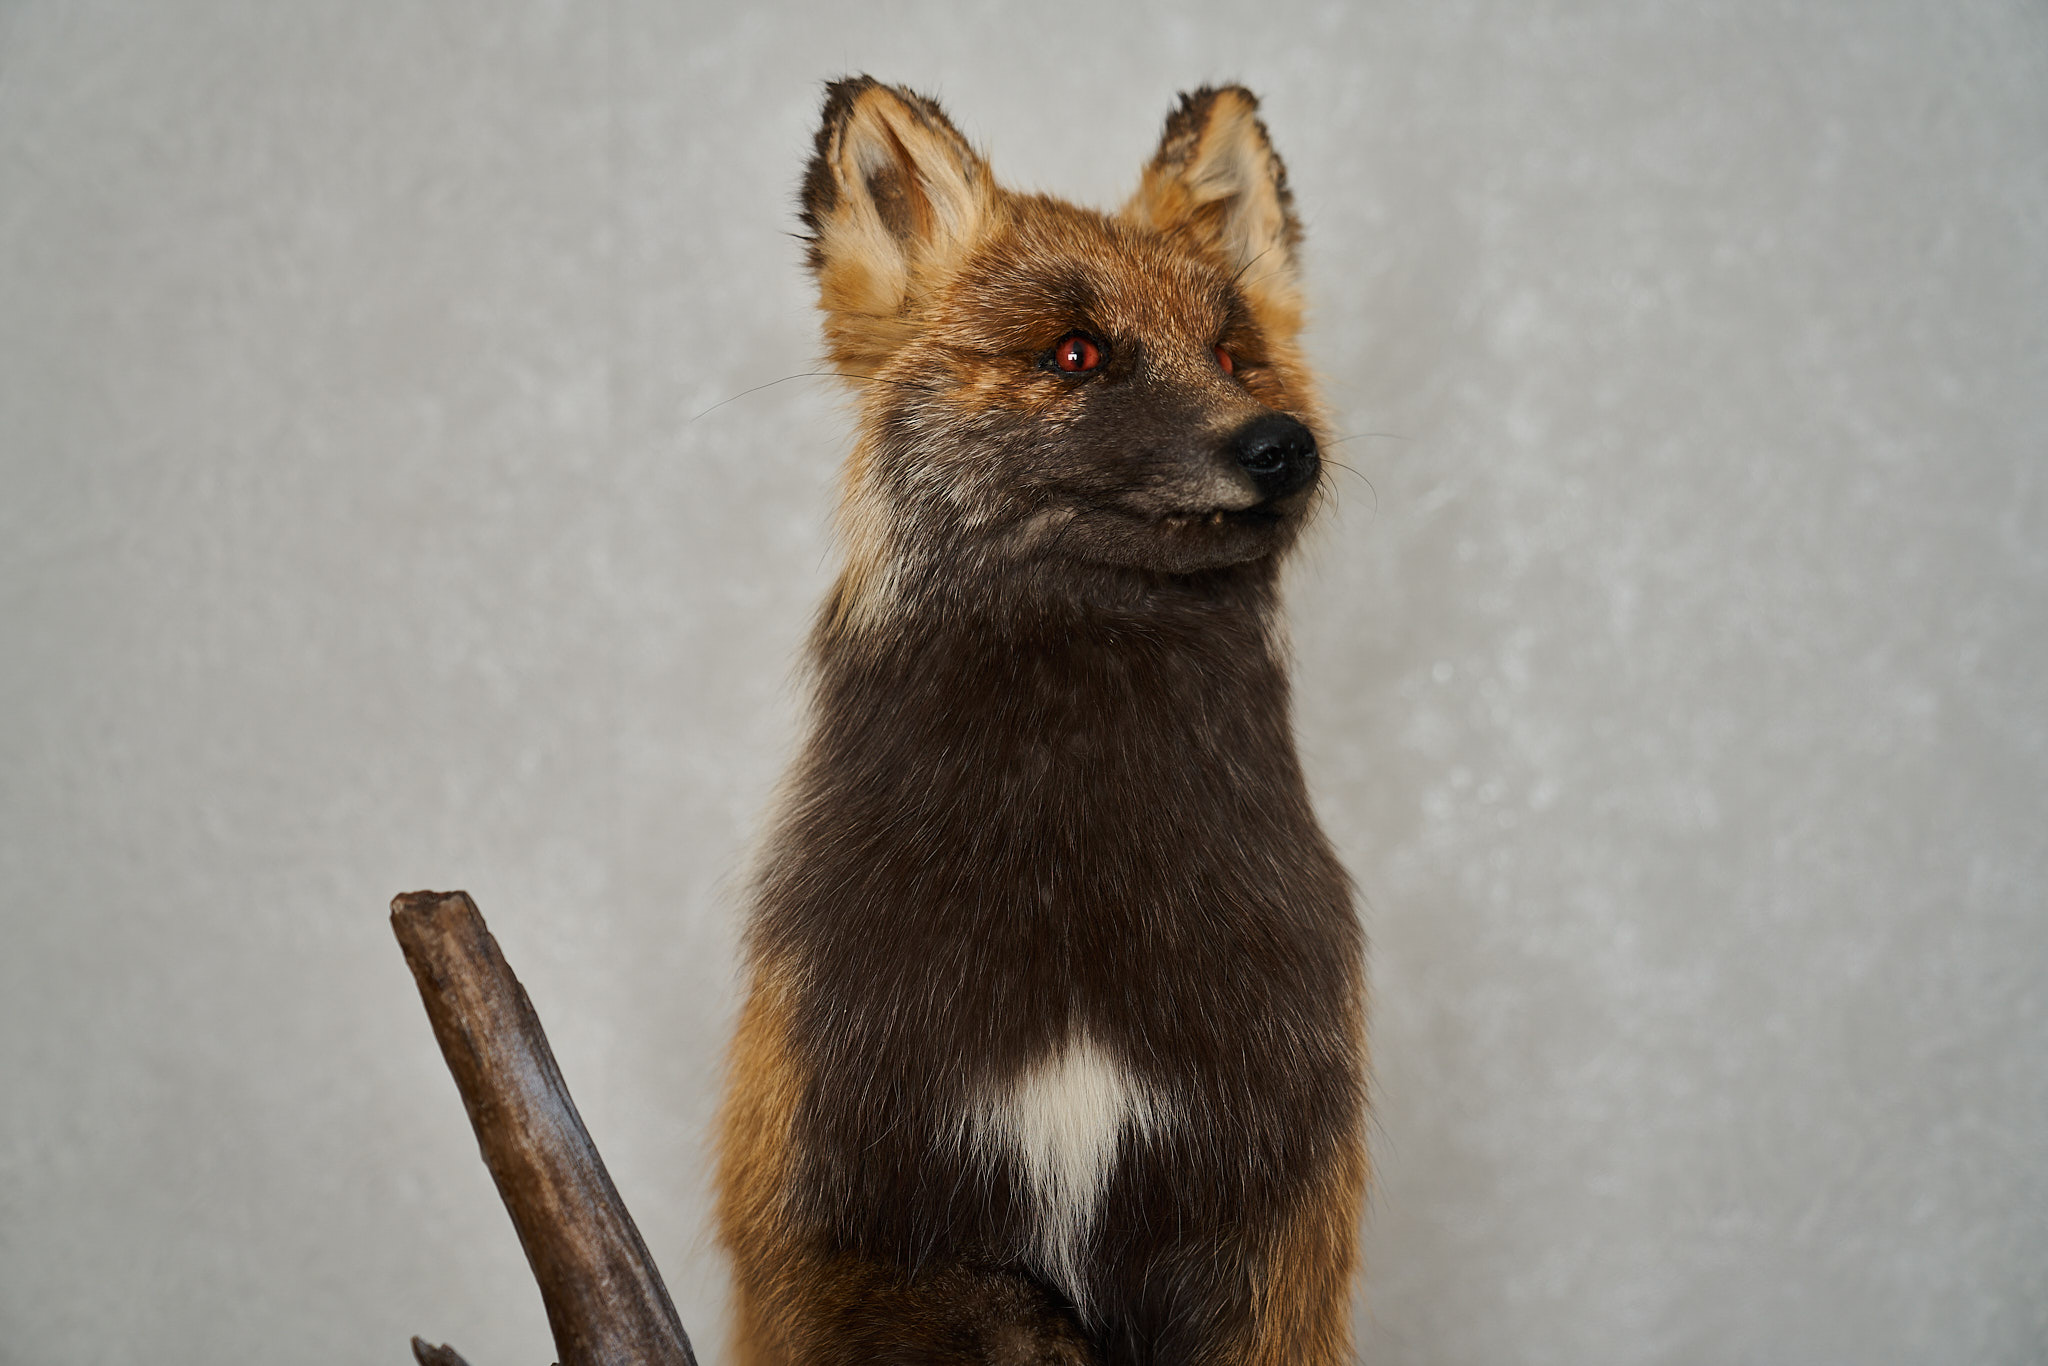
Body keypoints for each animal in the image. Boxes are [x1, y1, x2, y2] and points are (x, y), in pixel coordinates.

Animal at [716, 77, 1366, 1366]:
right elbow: (1012, 1316)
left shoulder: (1265, 1226)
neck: (1073, 896)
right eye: (1076, 353)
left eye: (1235, 354)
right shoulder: (862, 1215)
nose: (1280, 447)